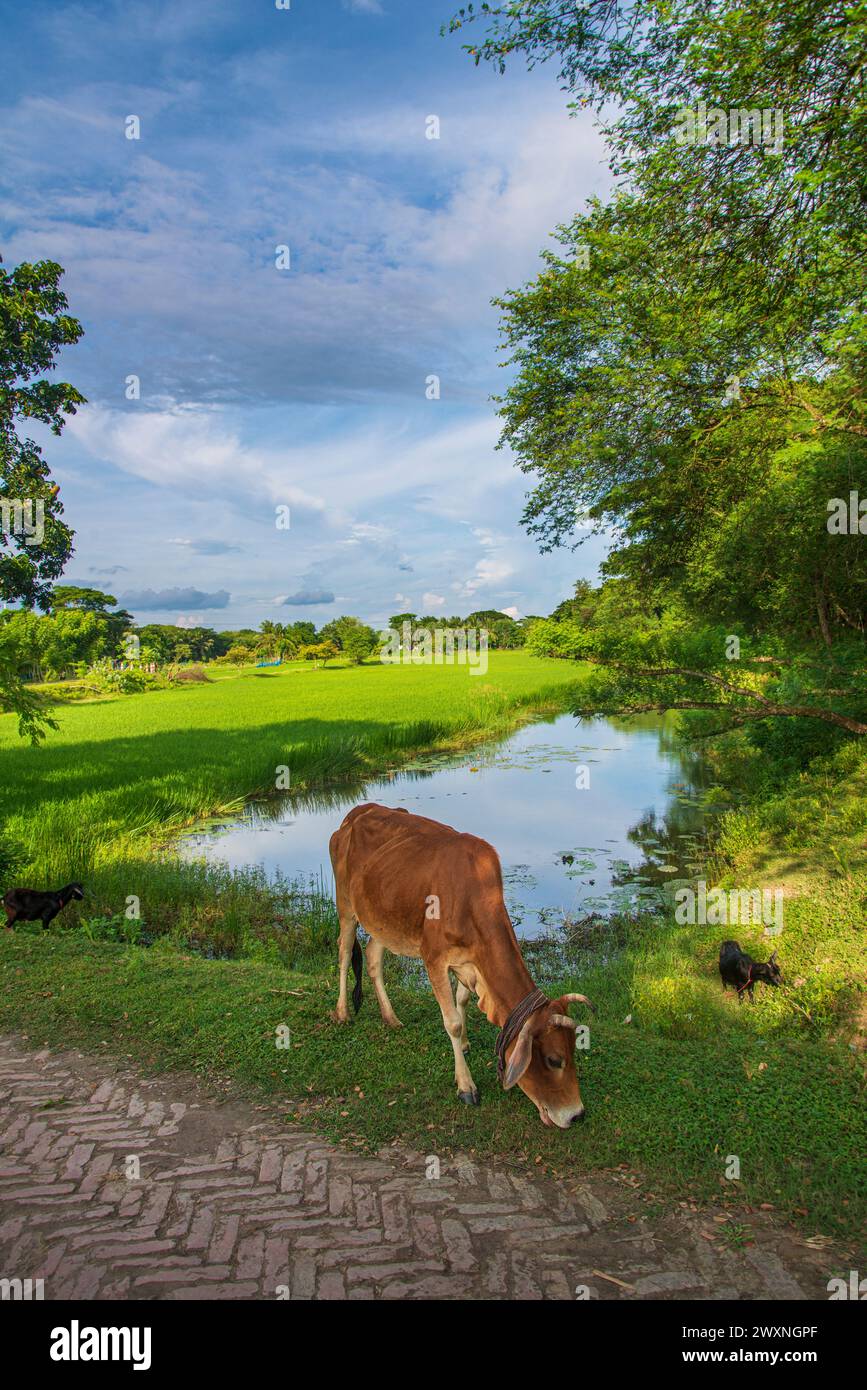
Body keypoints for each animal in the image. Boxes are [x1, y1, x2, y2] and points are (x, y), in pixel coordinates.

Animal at [329, 803, 592, 1128]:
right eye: (554, 1060)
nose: (577, 1114)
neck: (469, 900)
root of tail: (356, 813)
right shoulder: (434, 959)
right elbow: (451, 1021)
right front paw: (466, 1085)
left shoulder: (471, 964)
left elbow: (463, 999)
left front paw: (465, 1043)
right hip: (345, 906)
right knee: (343, 953)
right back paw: (342, 1012)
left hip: (382, 918)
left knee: (373, 958)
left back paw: (390, 1017)